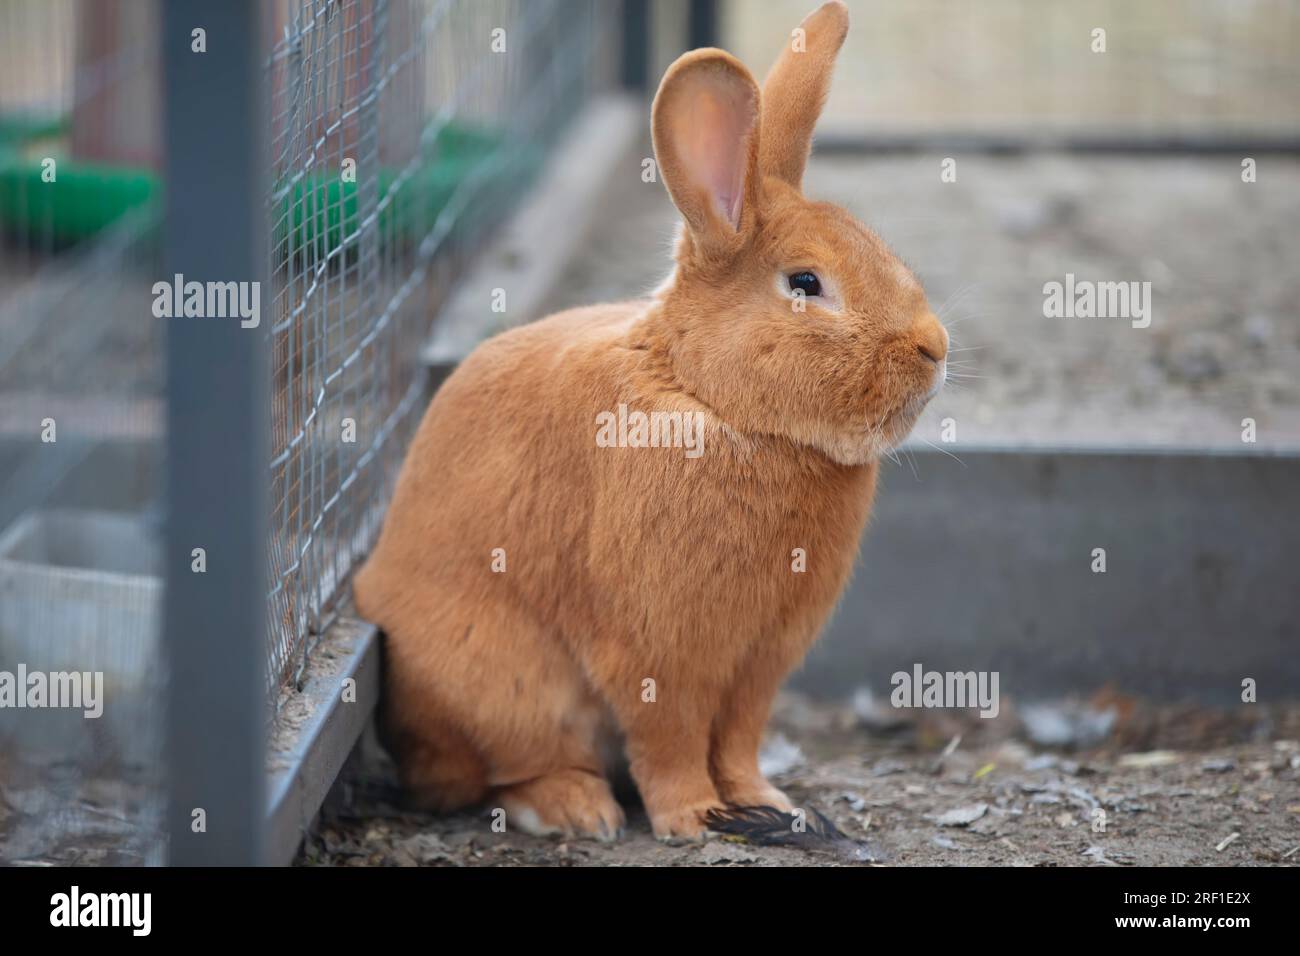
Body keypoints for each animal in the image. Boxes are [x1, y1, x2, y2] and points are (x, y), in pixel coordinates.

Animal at [353, 0, 948, 842]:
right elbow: (670, 740)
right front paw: (694, 818)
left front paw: (763, 803)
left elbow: (737, 741)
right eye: (806, 284)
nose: (935, 347)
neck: (709, 398)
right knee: (501, 770)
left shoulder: (758, 664)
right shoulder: (656, 651)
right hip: (508, 685)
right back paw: (575, 810)